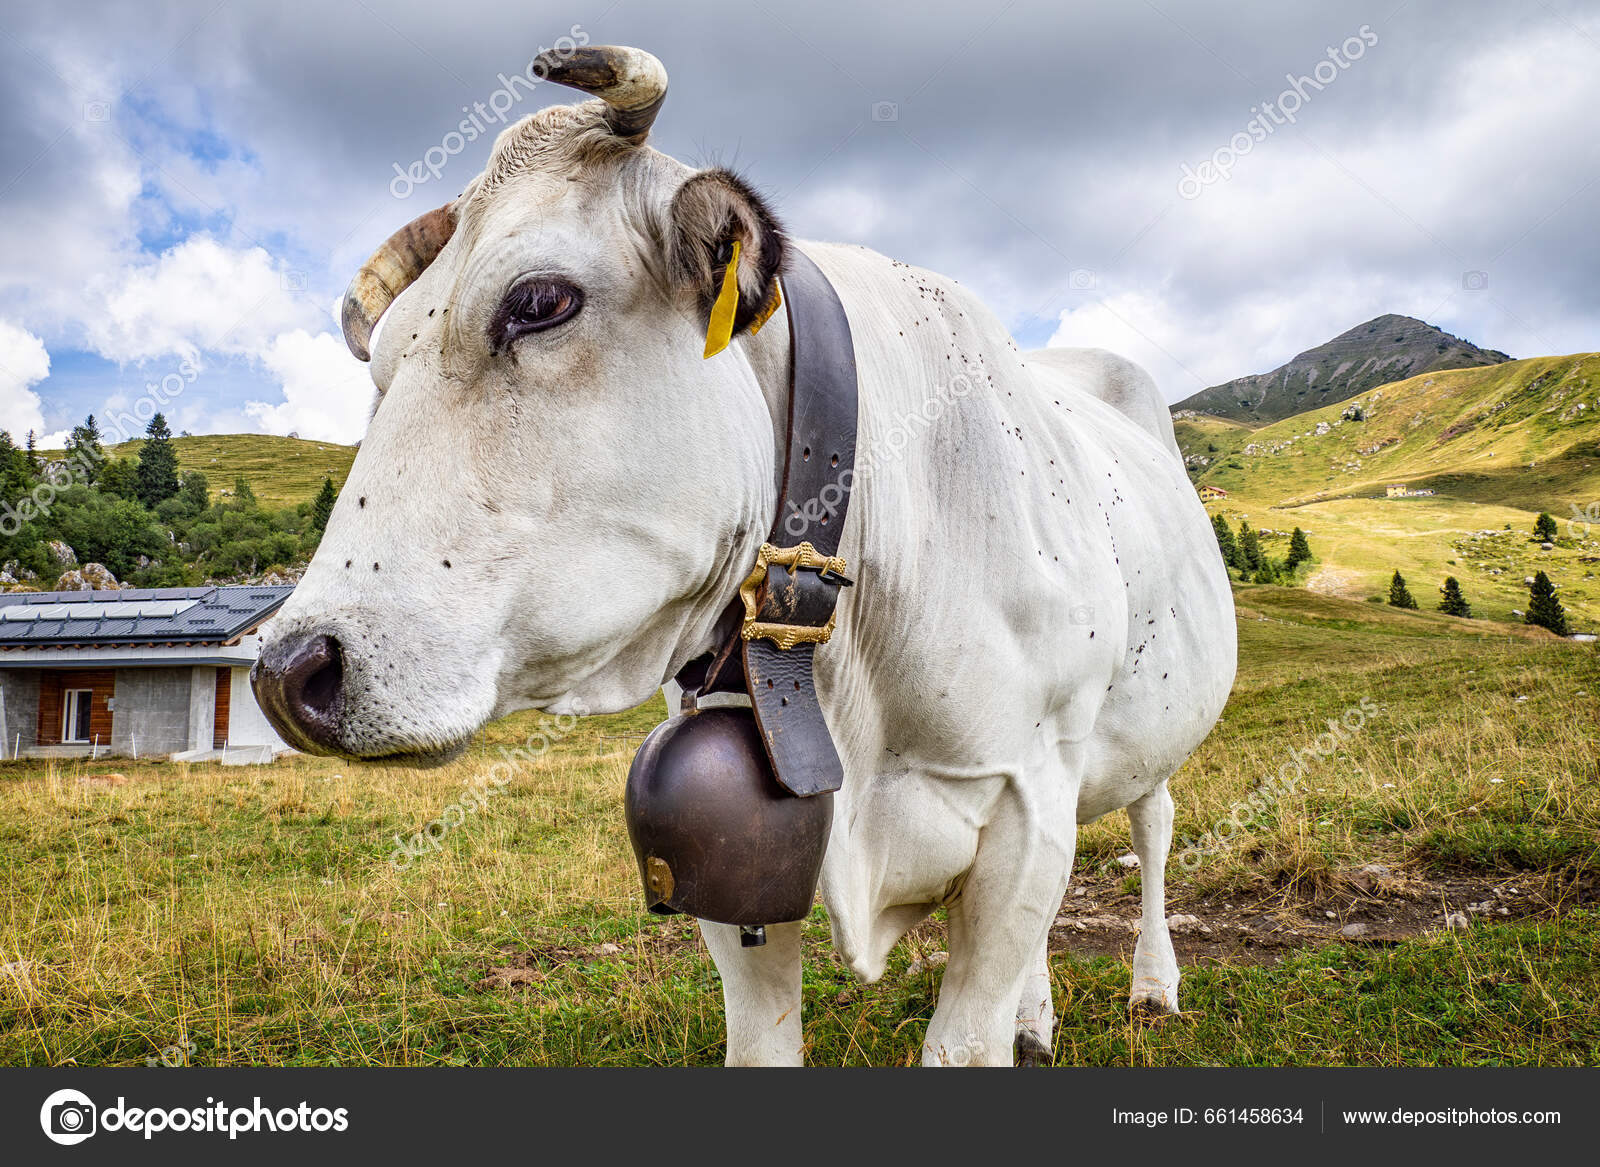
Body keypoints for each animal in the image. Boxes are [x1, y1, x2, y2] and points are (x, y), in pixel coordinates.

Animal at [252, 45, 1236, 1067]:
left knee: (1154, 824)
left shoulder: (1025, 808)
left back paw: (1154, 984)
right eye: (378, 369)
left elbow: (967, 1035)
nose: (289, 670)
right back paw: (1037, 1015)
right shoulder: (737, 855)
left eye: (540, 302)